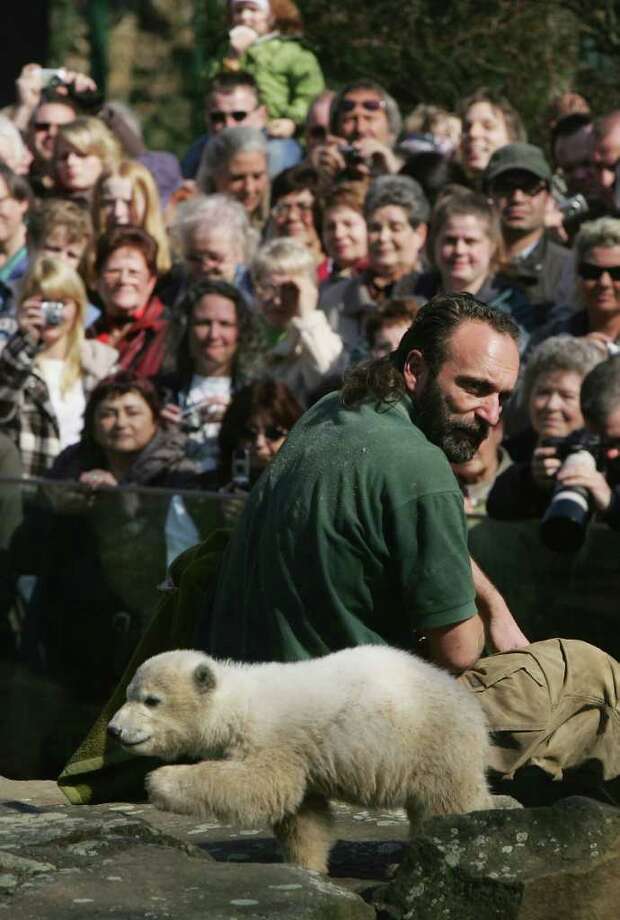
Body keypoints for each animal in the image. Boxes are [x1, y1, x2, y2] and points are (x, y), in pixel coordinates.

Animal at [107, 645, 493, 873]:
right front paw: (308, 868)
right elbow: (302, 815)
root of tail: (469, 703)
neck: (237, 703)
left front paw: (159, 782)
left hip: (431, 740)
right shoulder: (302, 755)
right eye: (128, 693)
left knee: (447, 802)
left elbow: (261, 785)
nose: (113, 729)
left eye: (151, 700)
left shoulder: (274, 737)